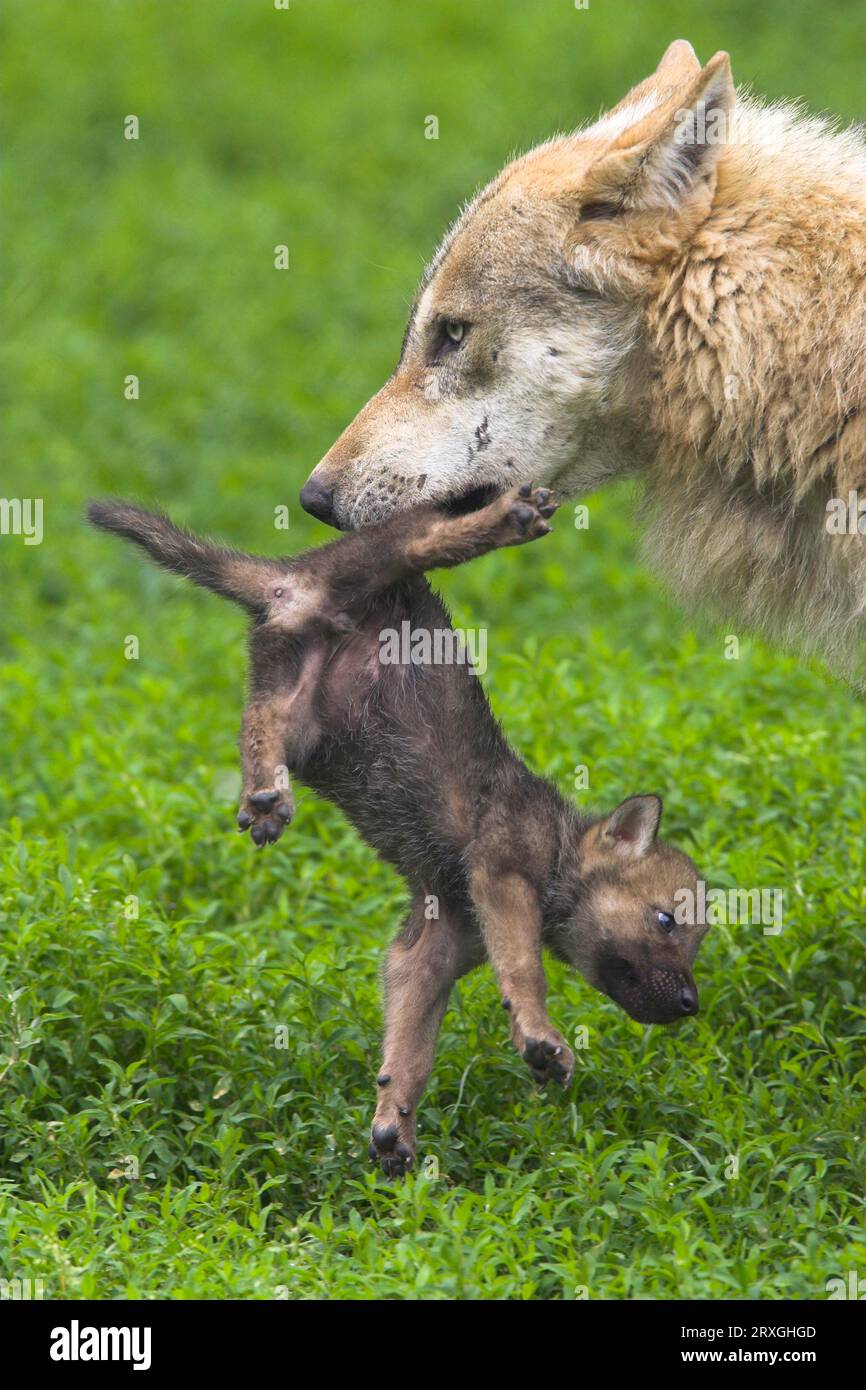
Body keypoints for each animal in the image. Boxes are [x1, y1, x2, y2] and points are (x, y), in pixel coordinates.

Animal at [89, 489, 705, 1175]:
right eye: (666, 921)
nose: (691, 1005)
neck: (560, 849)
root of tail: (283, 577)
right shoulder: (500, 871)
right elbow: (525, 973)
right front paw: (542, 1040)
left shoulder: (431, 946)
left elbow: (410, 1051)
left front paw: (394, 1130)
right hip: (367, 572)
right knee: (416, 540)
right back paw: (507, 520)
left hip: (300, 706)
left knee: (259, 722)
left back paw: (265, 795)